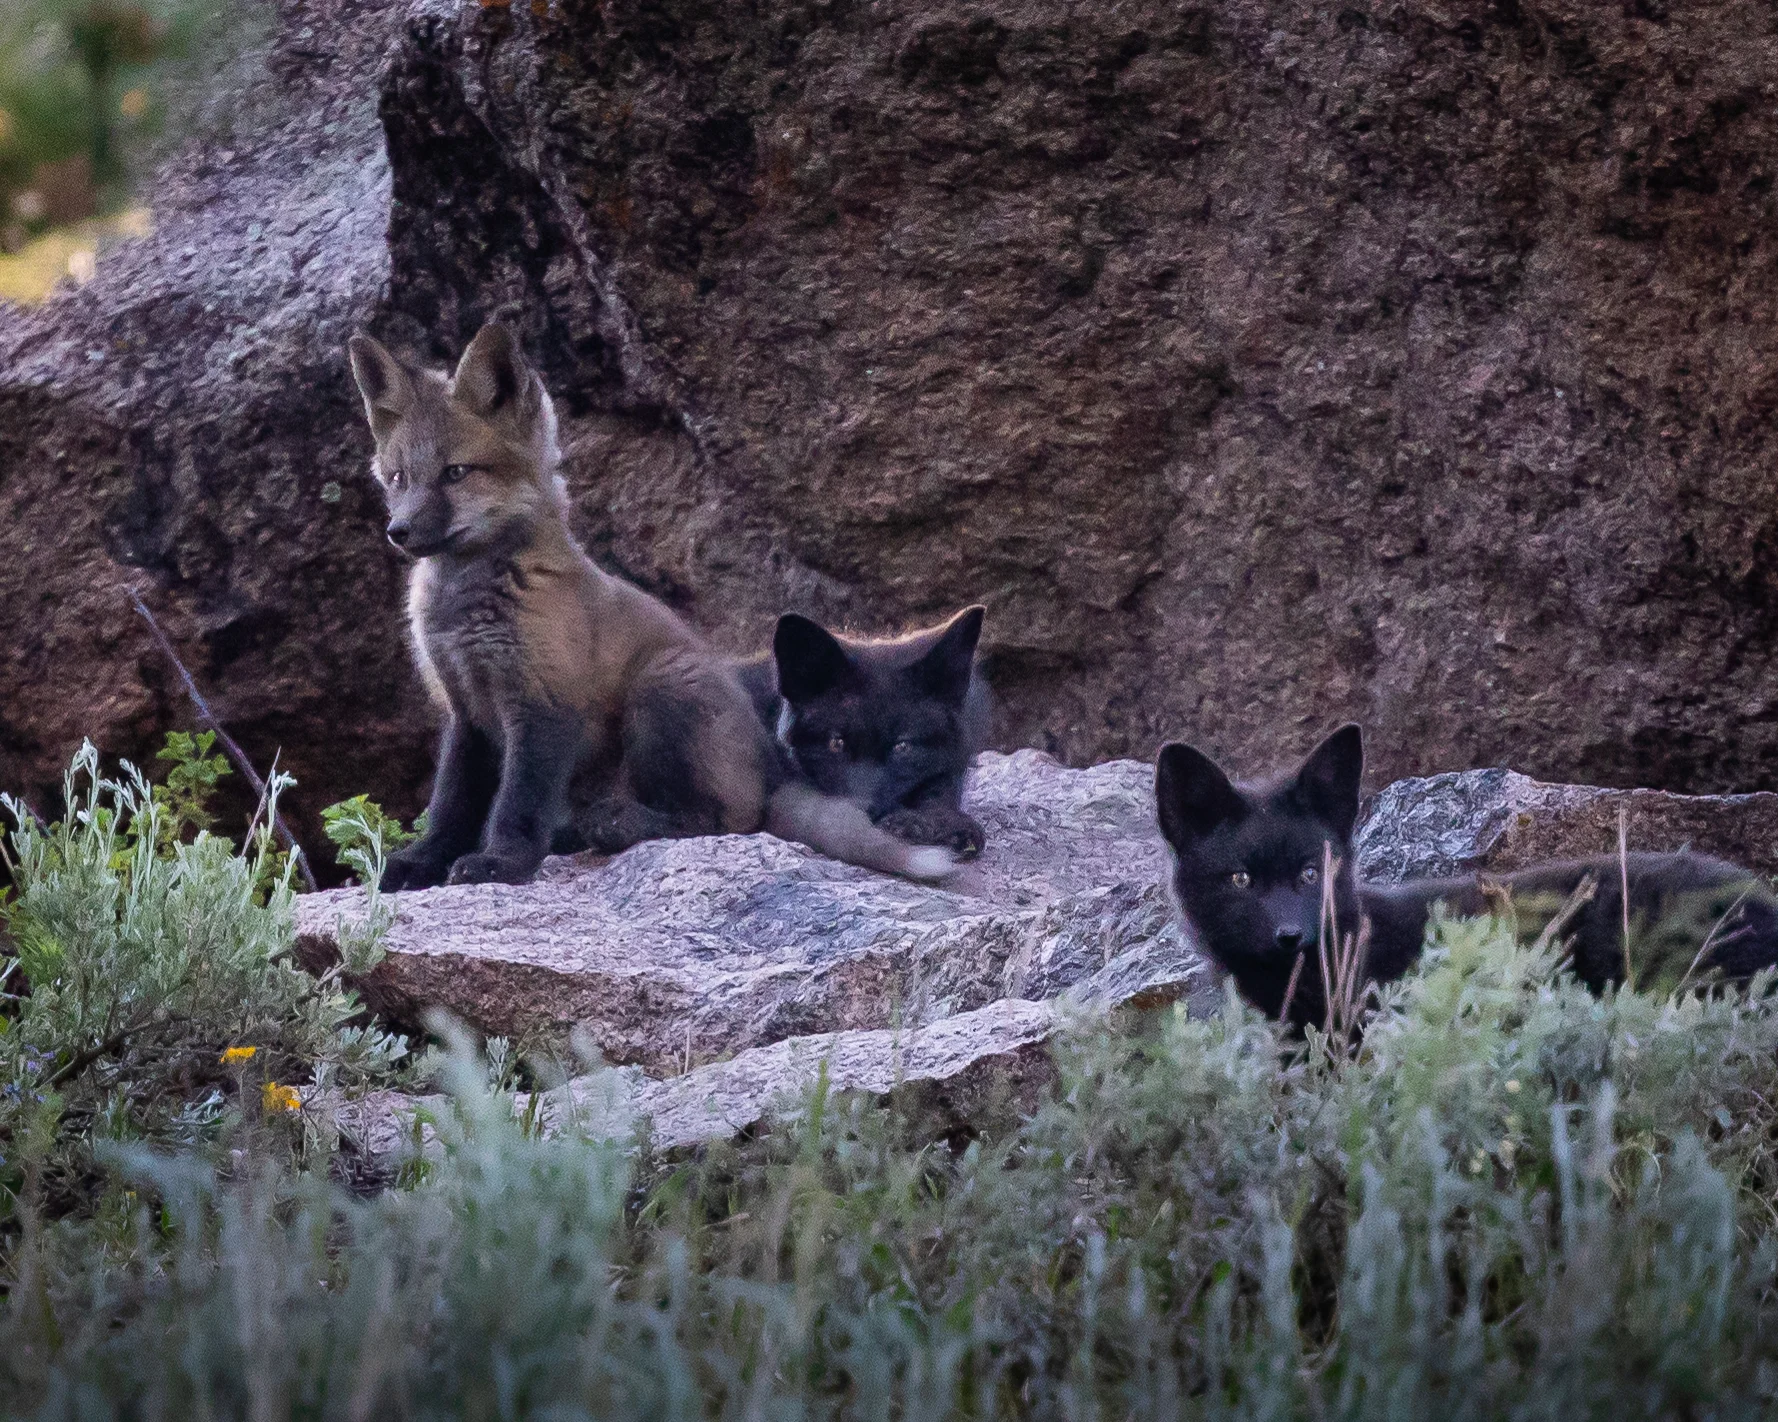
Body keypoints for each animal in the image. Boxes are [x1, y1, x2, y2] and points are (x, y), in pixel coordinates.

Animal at [349, 319, 959, 888]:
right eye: (398, 477)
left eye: (455, 473)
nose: (398, 532)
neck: (468, 608)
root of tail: (773, 771)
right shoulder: (464, 709)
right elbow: (450, 806)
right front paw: (421, 863)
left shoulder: (543, 703)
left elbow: (518, 803)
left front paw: (502, 862)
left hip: (661, 689)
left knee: (723, 820)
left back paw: (620, 825)